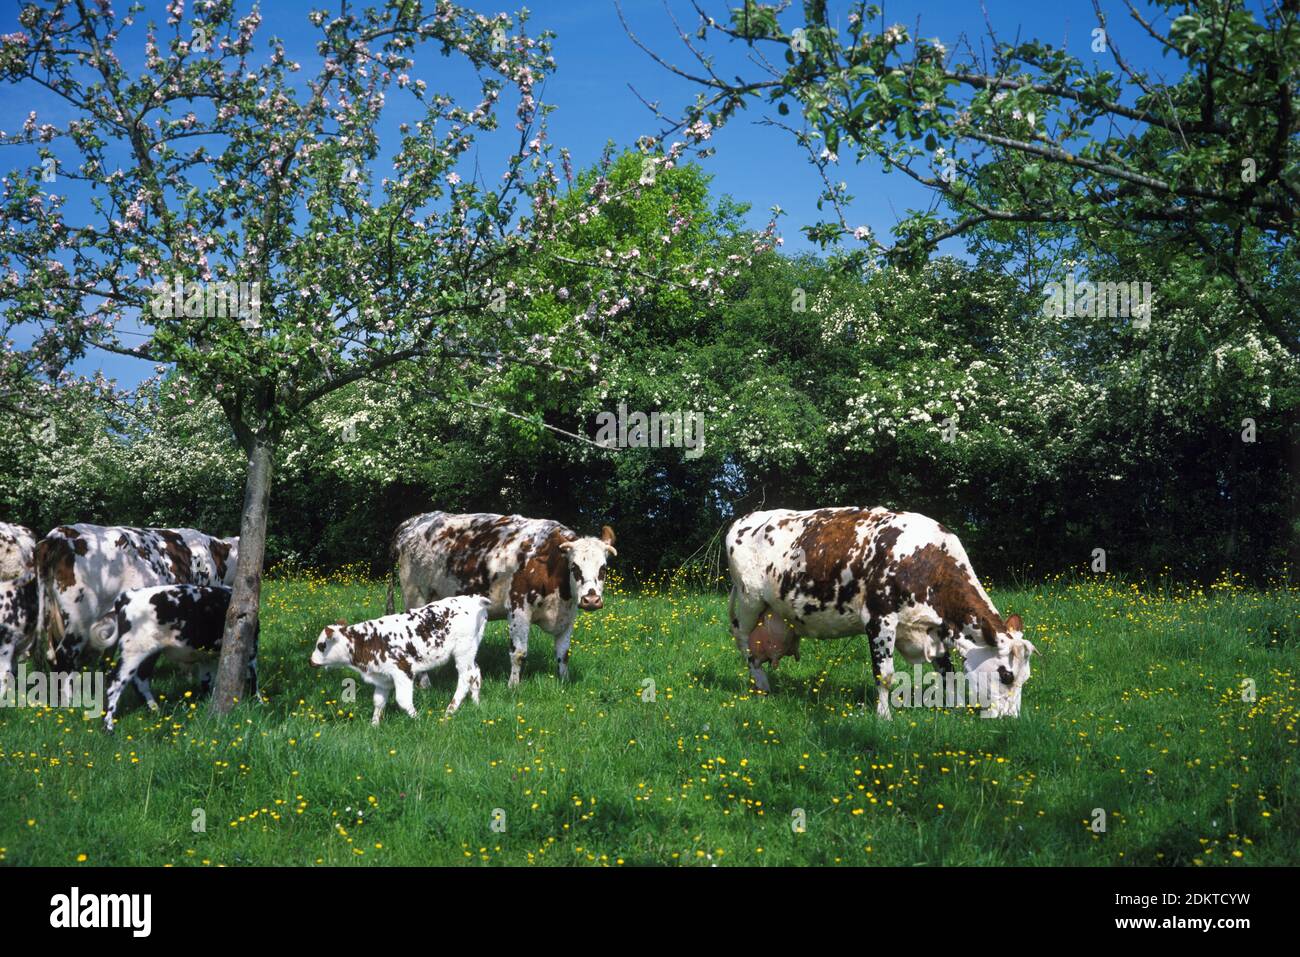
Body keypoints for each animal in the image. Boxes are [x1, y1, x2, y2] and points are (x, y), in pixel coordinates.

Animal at [99, 584, 257, 731]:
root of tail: (127, 595)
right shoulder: (251, 649)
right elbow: (253, 679)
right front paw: (258, 703)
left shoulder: (207, 657)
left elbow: (206, 681)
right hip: (133, 651)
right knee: (115, 682)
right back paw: (108, 726)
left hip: (150, 652)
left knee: (141, 679)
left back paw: (155, 710)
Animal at [310, 595, 491, 724]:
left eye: (321, 645)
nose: (310, 661)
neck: (367, 641)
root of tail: (474, 599)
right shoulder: (382, 678)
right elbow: (378, 702)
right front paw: (374, 725)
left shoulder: (403, 670)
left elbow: (403, 701)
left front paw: (418, 719)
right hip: (471, 651)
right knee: (475, 672)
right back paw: (476, 703)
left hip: (463, 651)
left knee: (465, 678)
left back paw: (449, 711)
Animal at [387, 512, 616, 687]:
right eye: (574, 567)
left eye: (603, 568)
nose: (591, 600)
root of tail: (414, 521)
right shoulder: (518, 607)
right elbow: (519, 653)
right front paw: (513, 686)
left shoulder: (567, 615)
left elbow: (563, 653)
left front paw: (564, 682)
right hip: (415, 595)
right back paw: (425, 684)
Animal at [725, 507, 1036, 718]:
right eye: (1006, 676)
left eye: (1026, 678)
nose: (1011, 719)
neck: (923, 561)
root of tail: (746, 518)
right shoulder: (879, 619)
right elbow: (885, 674)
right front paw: (884, 716)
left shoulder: (935, 628)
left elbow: (947, 672)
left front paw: (955, 707)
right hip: (749, 600)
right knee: (742, 640)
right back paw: (760, 682)